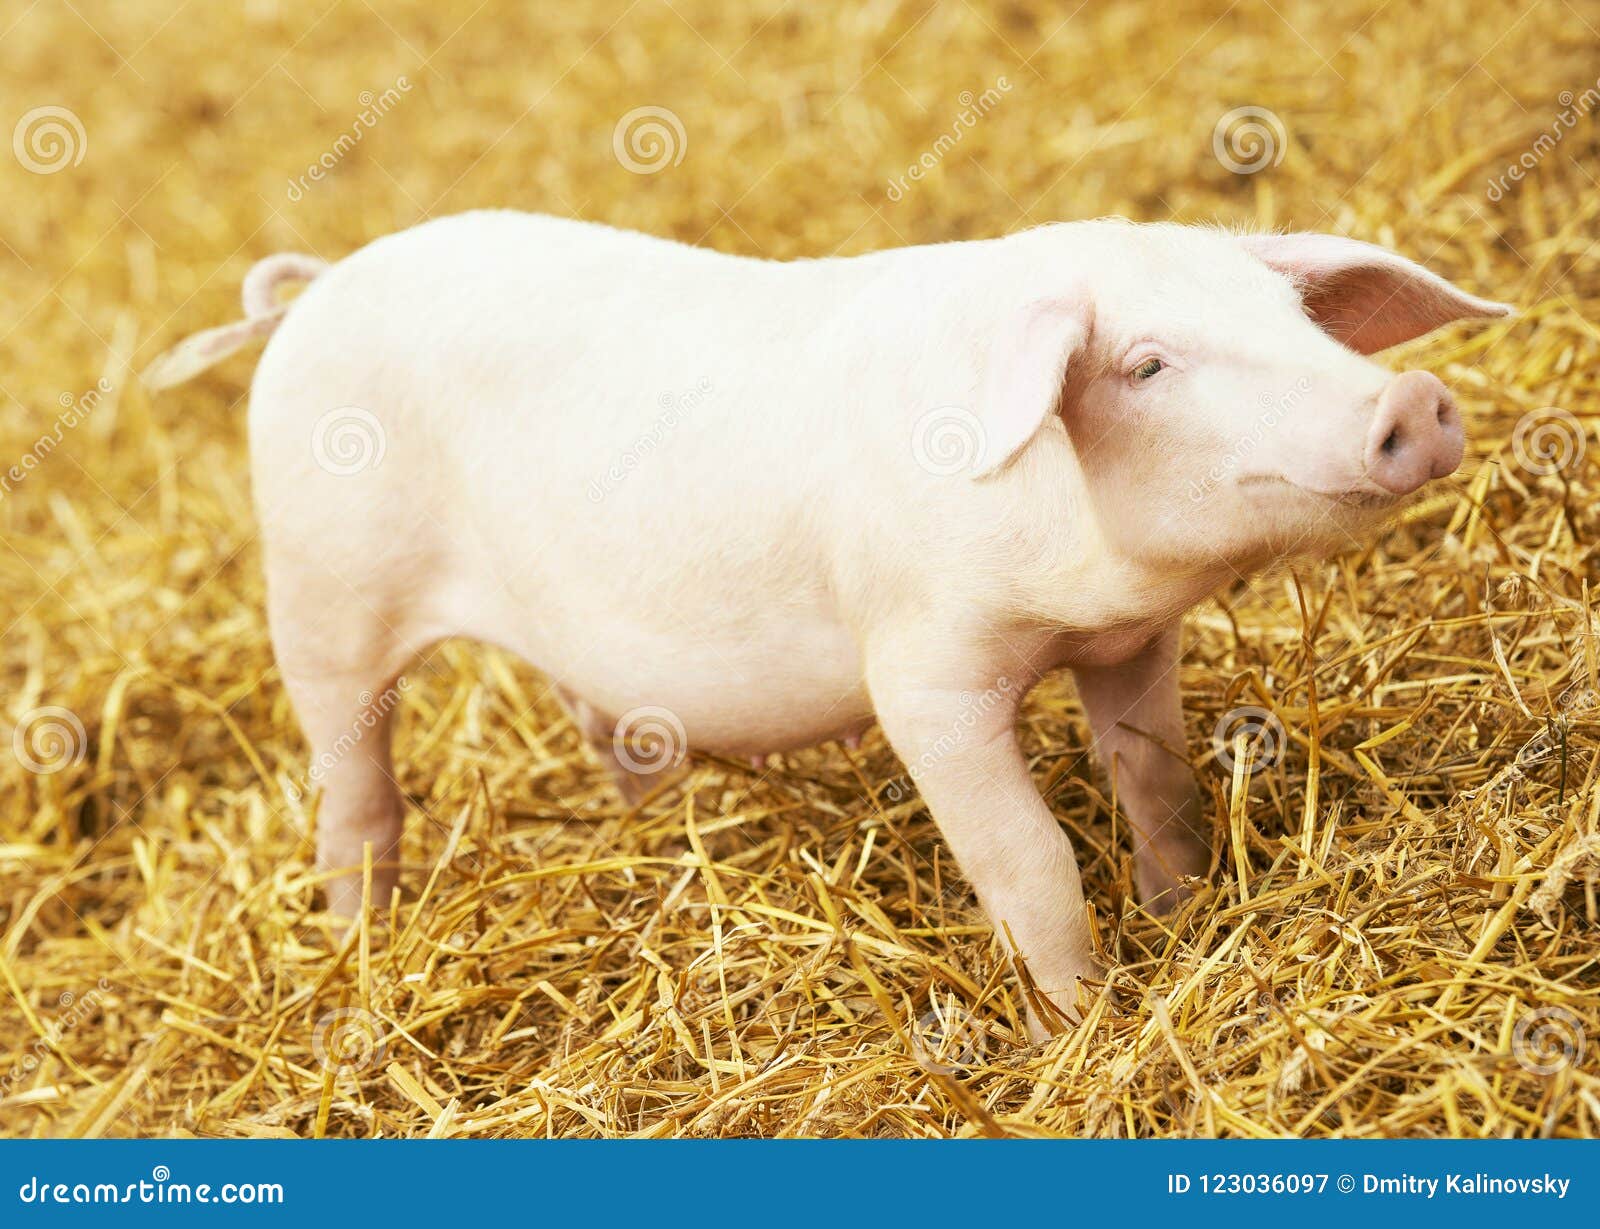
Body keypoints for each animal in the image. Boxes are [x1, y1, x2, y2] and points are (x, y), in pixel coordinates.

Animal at [145, 213, 1510, 1039]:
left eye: (1297, 322)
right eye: (1145, 366)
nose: (1411, 398)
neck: (1068, 577)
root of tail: (317, 290)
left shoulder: (1129, 642)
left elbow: (1160, 784)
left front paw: (1180, 916)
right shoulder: (923, 668)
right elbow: (1026, 856)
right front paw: (1081, 1025)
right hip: (321, 588)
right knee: (356, 785)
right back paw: (360, 939)